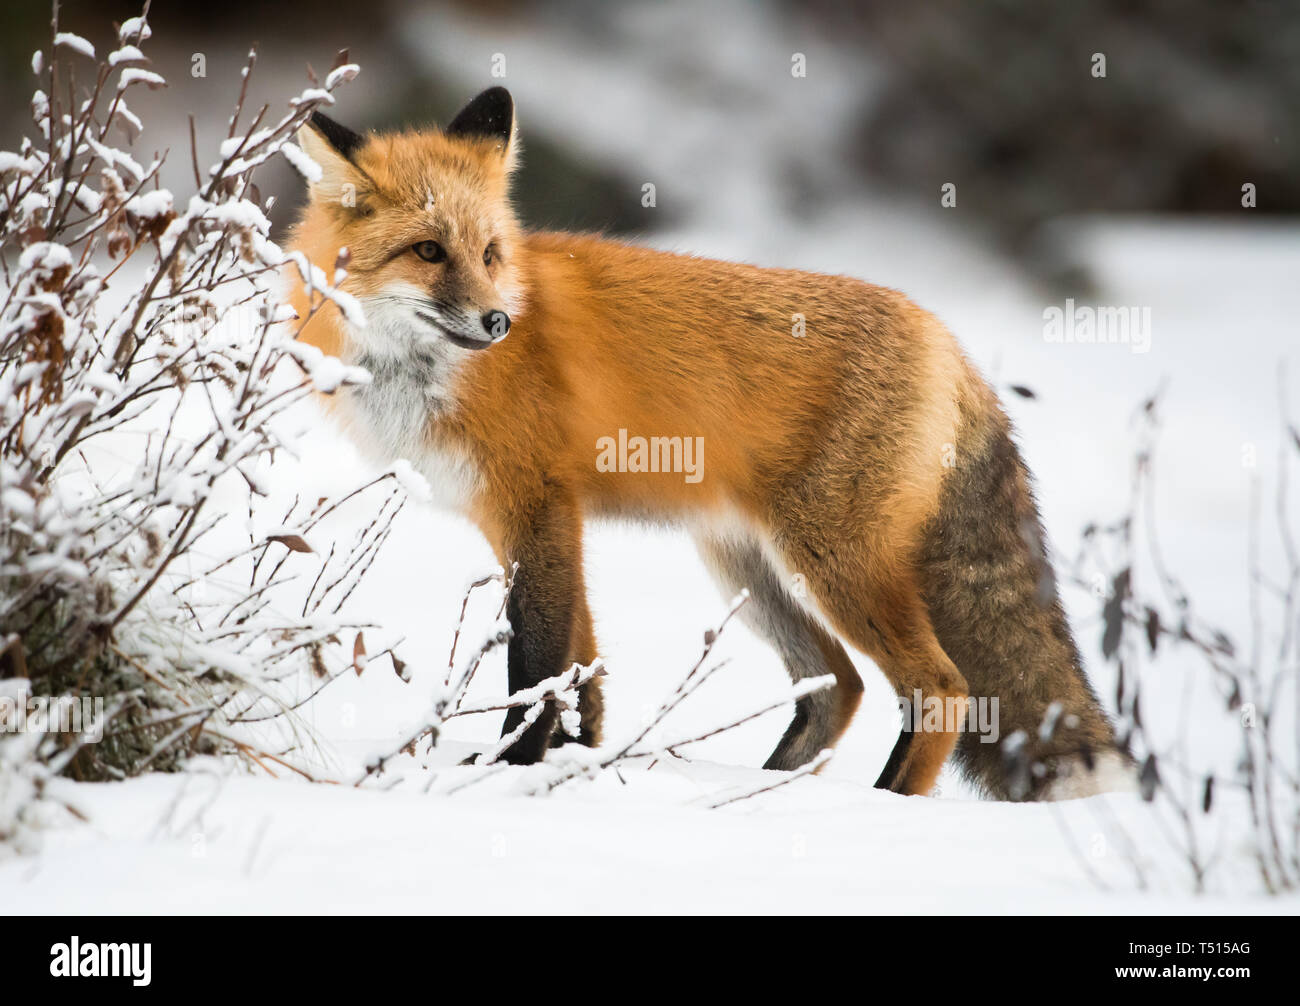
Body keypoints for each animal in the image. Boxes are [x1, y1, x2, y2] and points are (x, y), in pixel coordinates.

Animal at [286, 87, 1131, 800]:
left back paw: (884, 804)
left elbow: (537, 663)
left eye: (490, 253)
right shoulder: (529, 523)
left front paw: (511, 770)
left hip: (836, 561)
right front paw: (578, 763)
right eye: (429, 251)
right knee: (840, 686)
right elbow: (582, 668)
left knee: (942, 689)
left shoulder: (539, 510)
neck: (429, 377)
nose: (498, 321)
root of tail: (946, 338)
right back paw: (765, 789)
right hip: (746, 566)